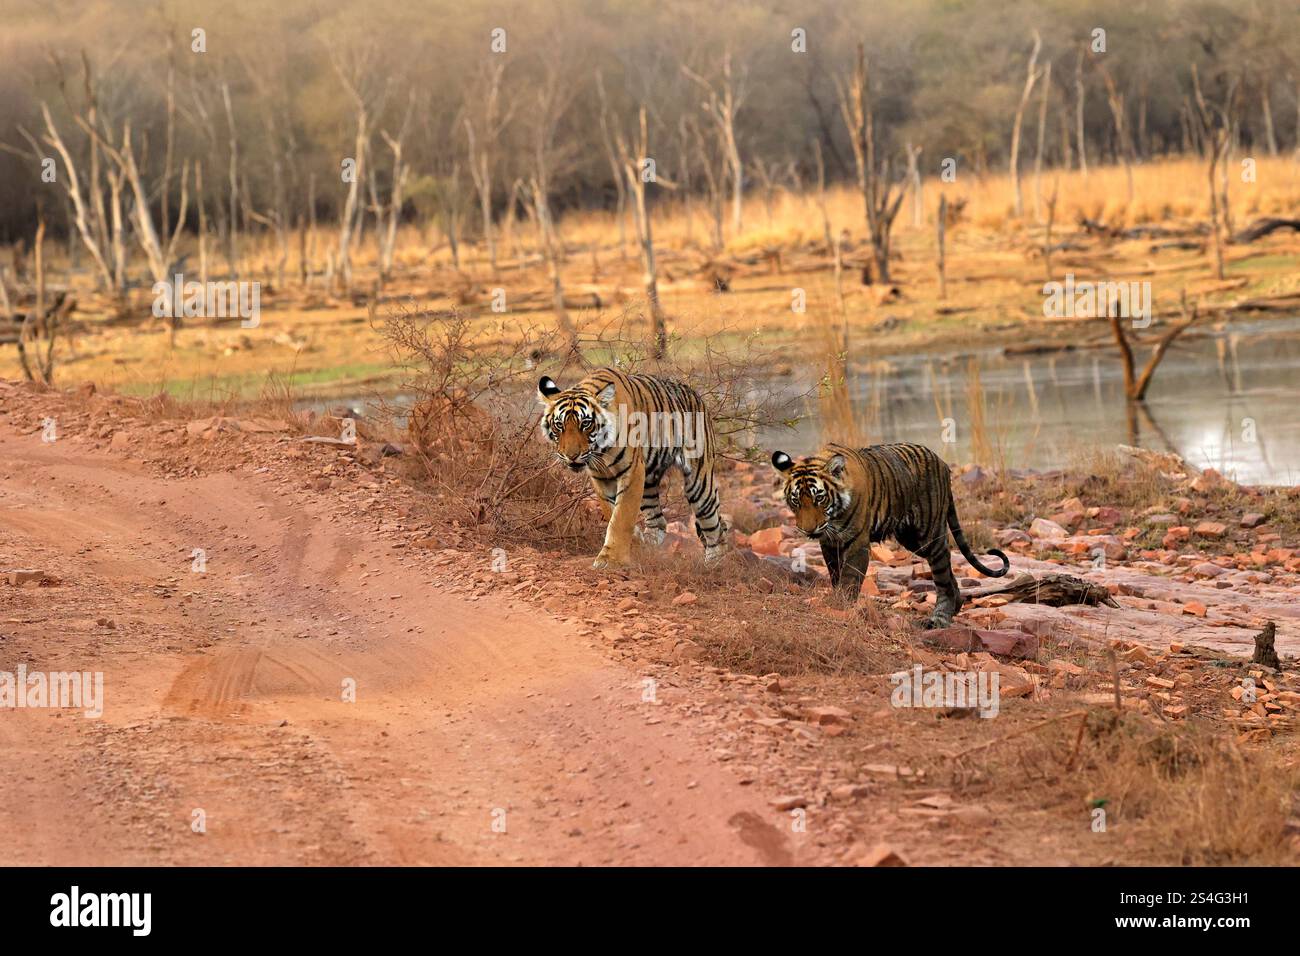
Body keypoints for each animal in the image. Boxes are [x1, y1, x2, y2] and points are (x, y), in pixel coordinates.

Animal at [538, 368, 728, 569]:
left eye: (586, 424)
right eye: (559, 425)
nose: (571, 456)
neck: (600, 450)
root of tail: (696, 395)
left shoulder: (632, 472)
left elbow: (622, 516)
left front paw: (610, 559)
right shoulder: (601, 477)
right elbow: (611, 511)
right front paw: (633, 543)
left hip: (698, 485)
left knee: (715, 527)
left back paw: (715, 564)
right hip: (649, 483)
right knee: (658, 521)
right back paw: (646, 548)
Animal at [770, 441, 1009, 629]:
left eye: (819, 498)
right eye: (796, 500)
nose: (808, 530)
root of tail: (942, 463)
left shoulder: (856, 543)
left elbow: (849, 579)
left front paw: (840, 606)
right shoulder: (829, 544)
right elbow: (835, 574)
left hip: (928, 534)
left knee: (942, 571)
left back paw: (940, 618)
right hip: (912, 539)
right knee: (948, 573)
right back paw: (955, 606)